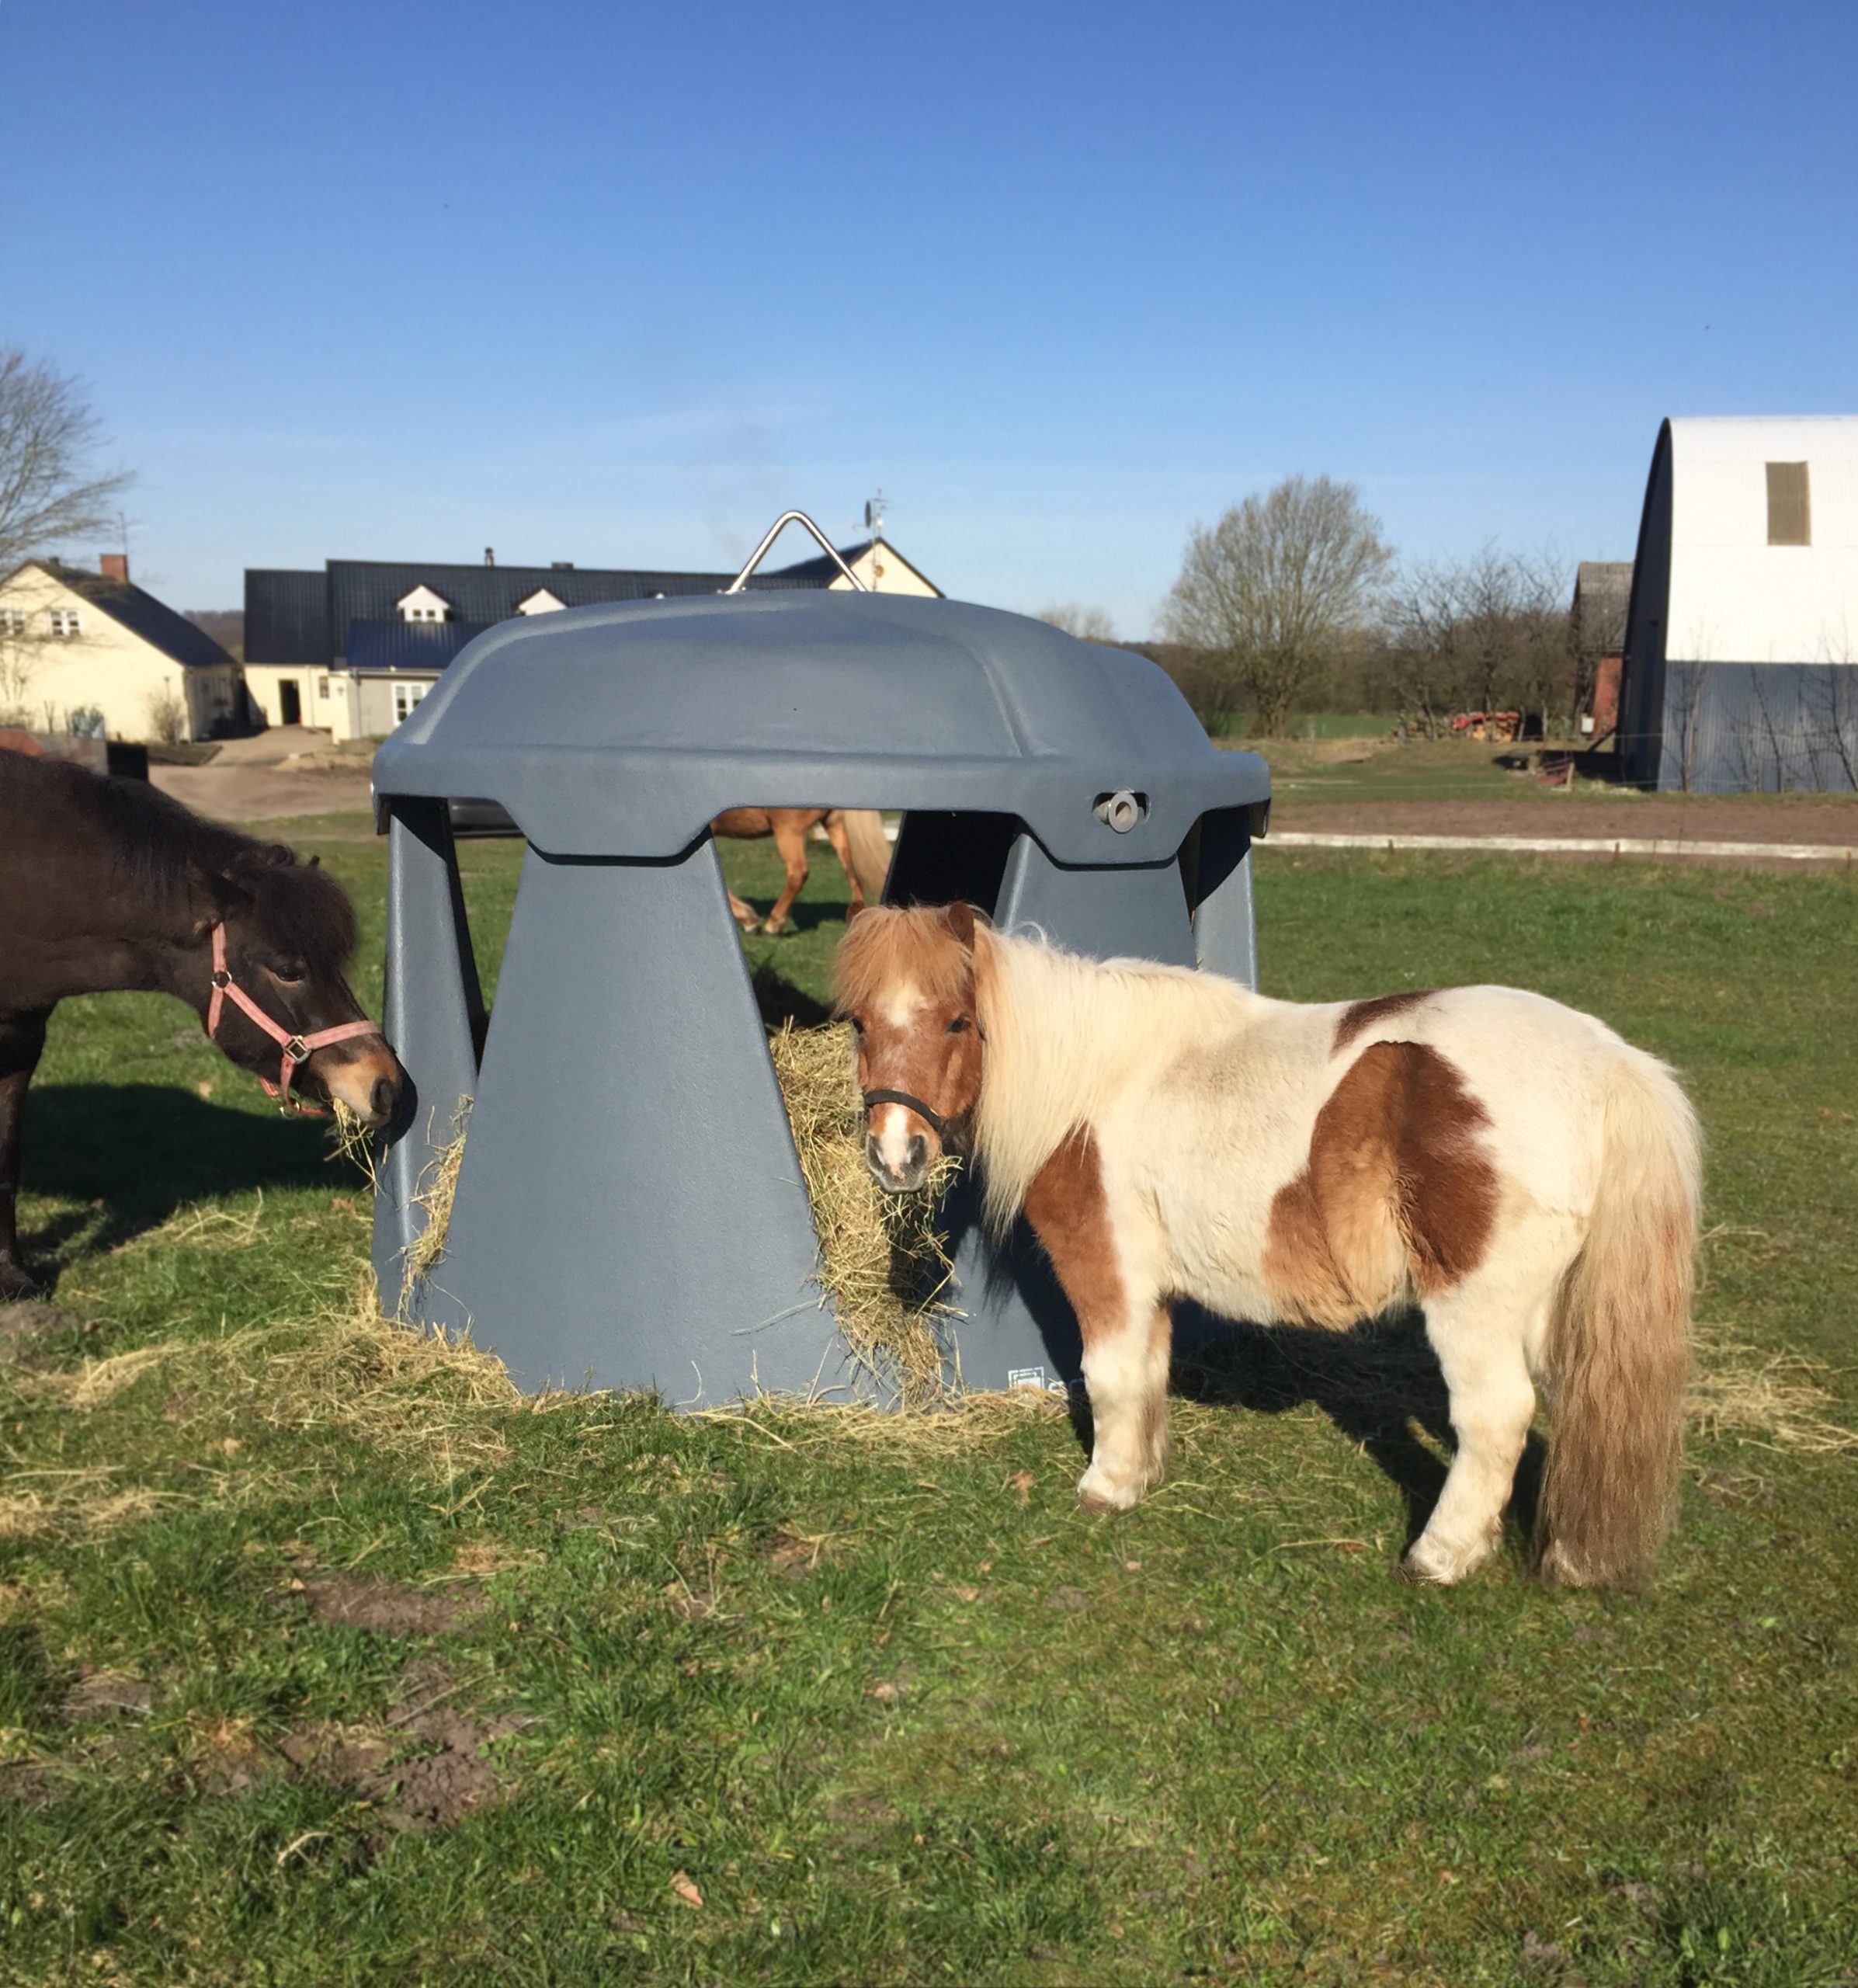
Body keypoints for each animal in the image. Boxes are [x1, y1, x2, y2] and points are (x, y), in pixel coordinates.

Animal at [710, 807, 893, 936]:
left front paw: (750, 921)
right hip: (834, 825)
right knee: (851, 872)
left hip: (788, 831)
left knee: (798, 873)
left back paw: (774, 924)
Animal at [831, 902, 1701, 1591]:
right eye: (861, 1025)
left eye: (956, 1020)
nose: (894, 1156)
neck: (1093, 1081)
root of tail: (1607, 1062)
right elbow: (1145, 1374)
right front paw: (1141, 1473)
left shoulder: (1107, 1269)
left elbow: (1109, 1377)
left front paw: (1105, 1487)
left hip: (1475, 1307)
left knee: (1494, 1417)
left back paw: (1438, 1555)